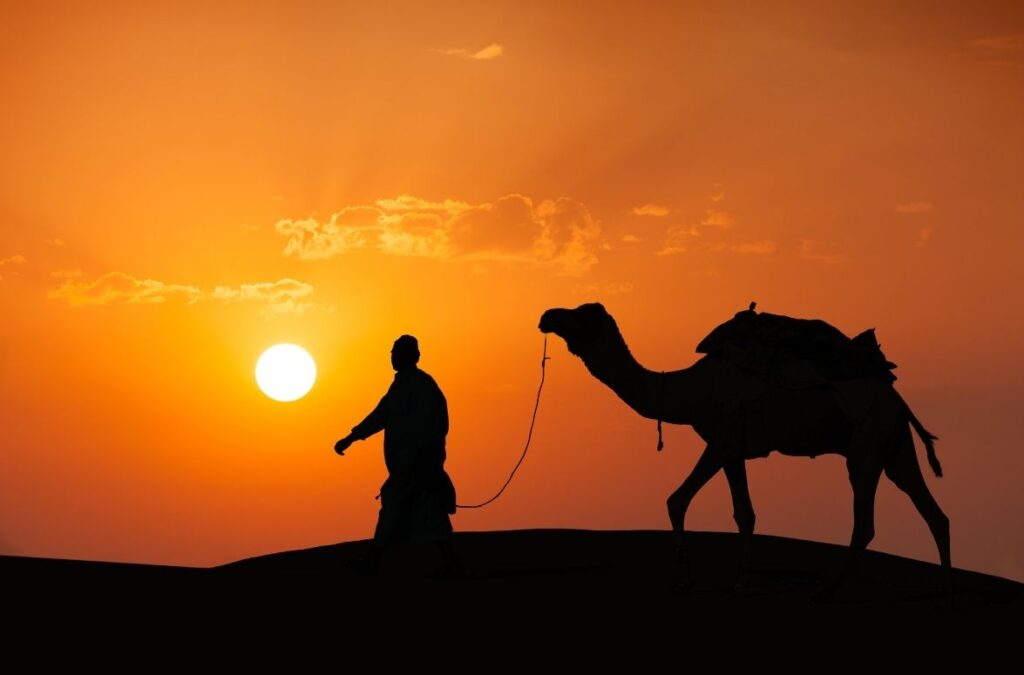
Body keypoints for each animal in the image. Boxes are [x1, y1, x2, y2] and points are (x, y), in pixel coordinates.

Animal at [539, 302, 951, 599]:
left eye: (581, 314)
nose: (546, 315)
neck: (690, 390)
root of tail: (898, 401)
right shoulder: (726, 448)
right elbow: (711, 506)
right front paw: (709, 580)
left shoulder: (724, 441)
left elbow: (711, 506)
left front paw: (716, 580)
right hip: (895, 447)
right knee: (933, 512)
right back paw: (945, 590)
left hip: (866, 445)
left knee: (865, 520)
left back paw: (830, 587)